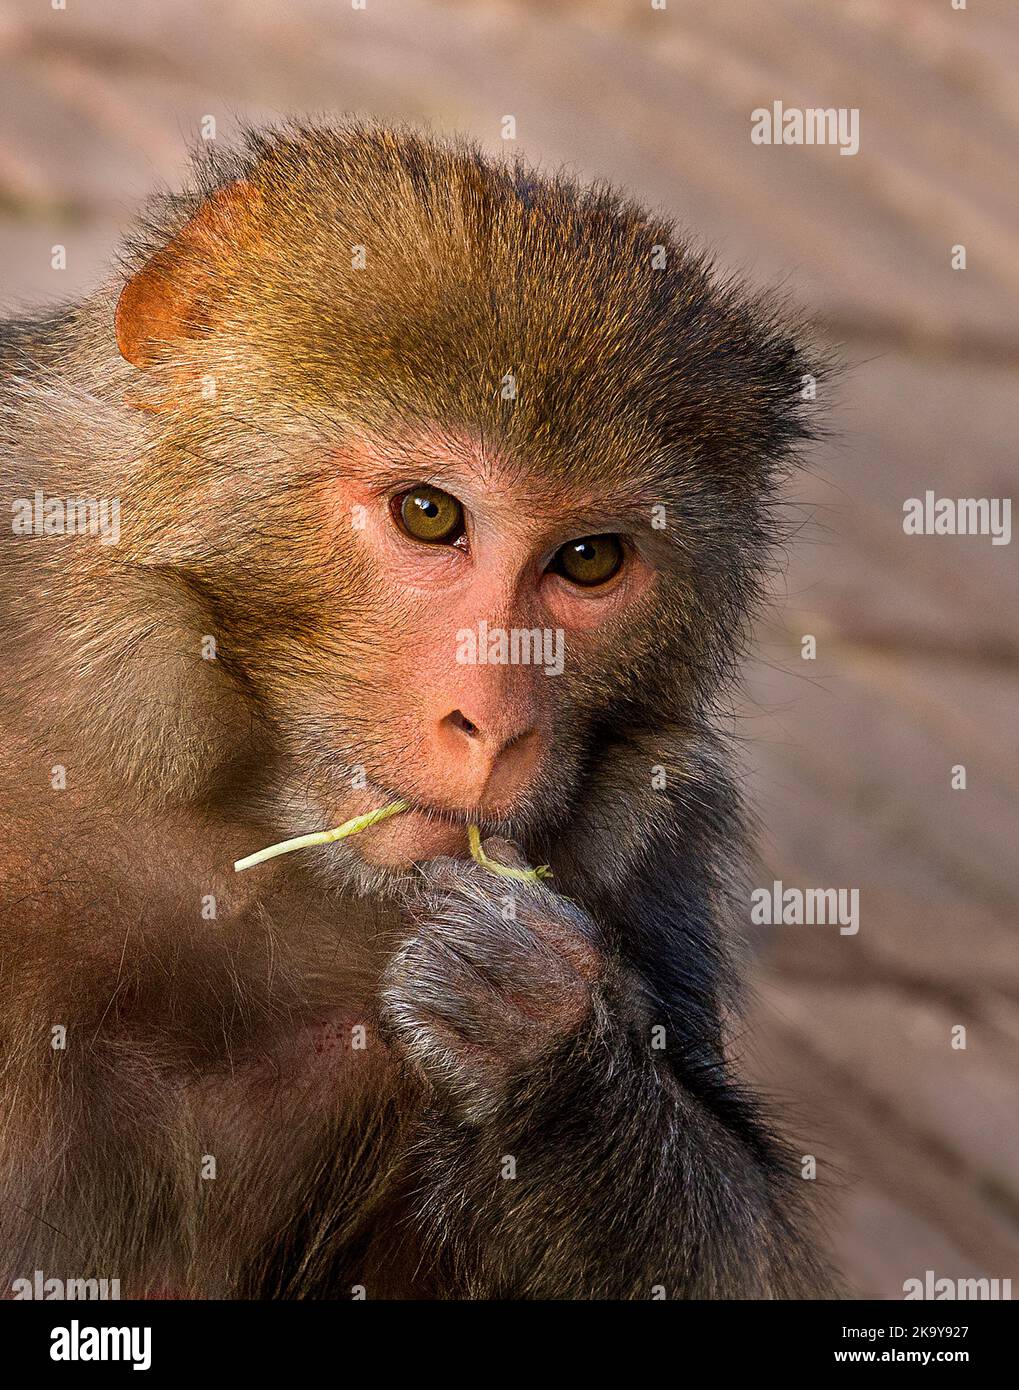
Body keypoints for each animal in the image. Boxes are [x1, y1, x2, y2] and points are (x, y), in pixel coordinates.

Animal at [0, 120, 836, 1300]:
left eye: (589, 559)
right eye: (430, 513)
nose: (493, 724)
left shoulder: (651, 848)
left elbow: (739, 1253)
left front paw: (542, 1037)